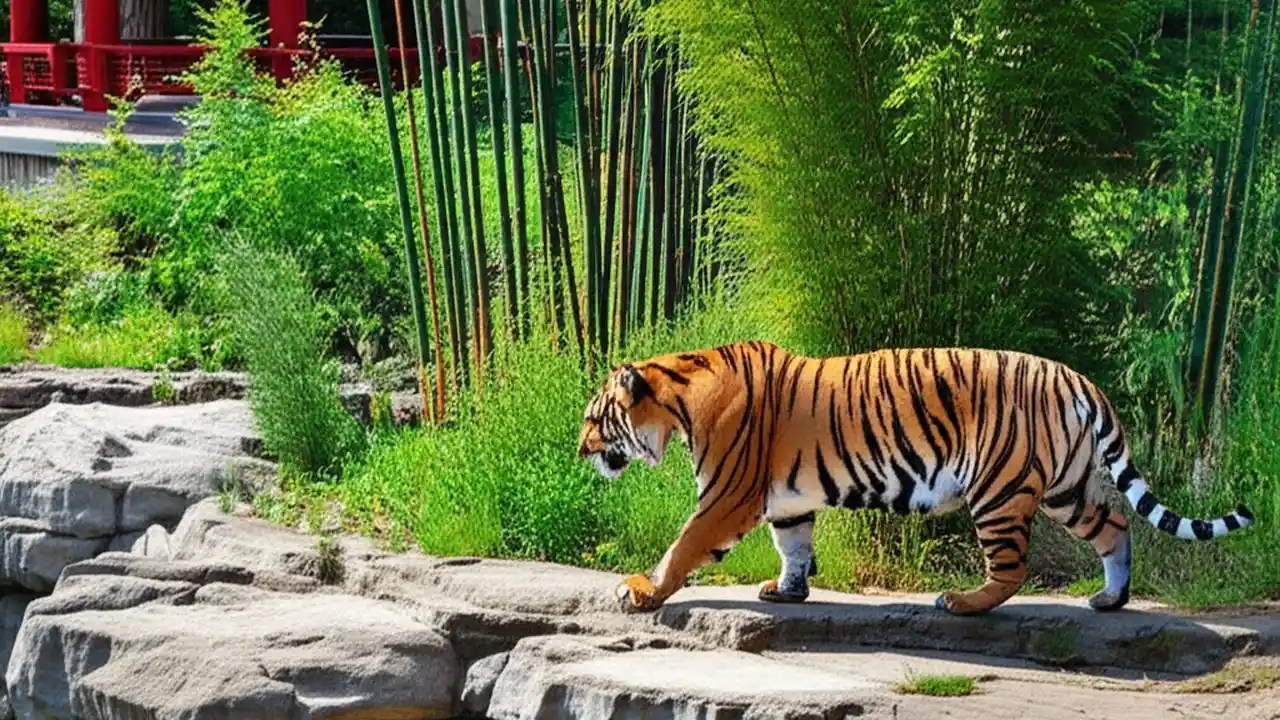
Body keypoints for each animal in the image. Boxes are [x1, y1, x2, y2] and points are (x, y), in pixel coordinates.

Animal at [577, 341, 1254, 615]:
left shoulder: (727, 495)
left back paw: (962, 602)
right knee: (1113, 523)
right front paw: (788, 590)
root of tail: (1075, 377)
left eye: (593, 417)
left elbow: (684, 544)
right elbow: (793, 543)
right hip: (1067, 485)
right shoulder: (787, 500)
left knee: (1011, 568)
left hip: (1000, 488)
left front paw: (642, 590)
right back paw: (1110, 599)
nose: (581, 449)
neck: (679, 401)